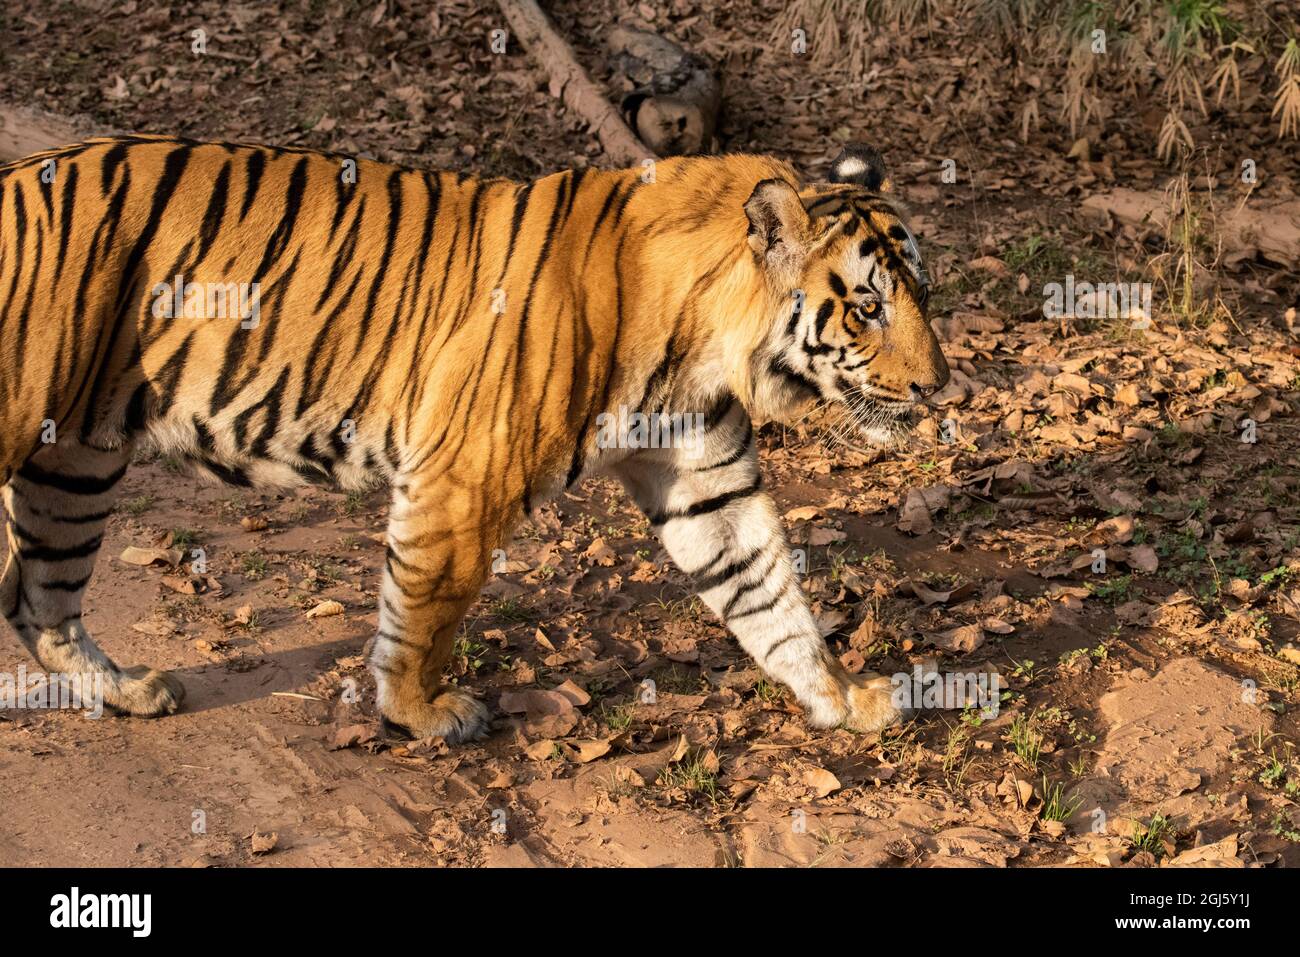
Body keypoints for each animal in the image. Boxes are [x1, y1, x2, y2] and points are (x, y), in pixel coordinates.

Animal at [0, 135, 948, 744]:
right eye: (868, 306)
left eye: (922, 293)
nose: (939, 386)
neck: (706, 339)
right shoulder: (461, 476)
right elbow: (426, 606)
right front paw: (419, 713)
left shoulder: (704, 478)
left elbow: (768, 591)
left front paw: (841, 698)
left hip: (74, 458)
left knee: (39, 599)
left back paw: (125, 692)